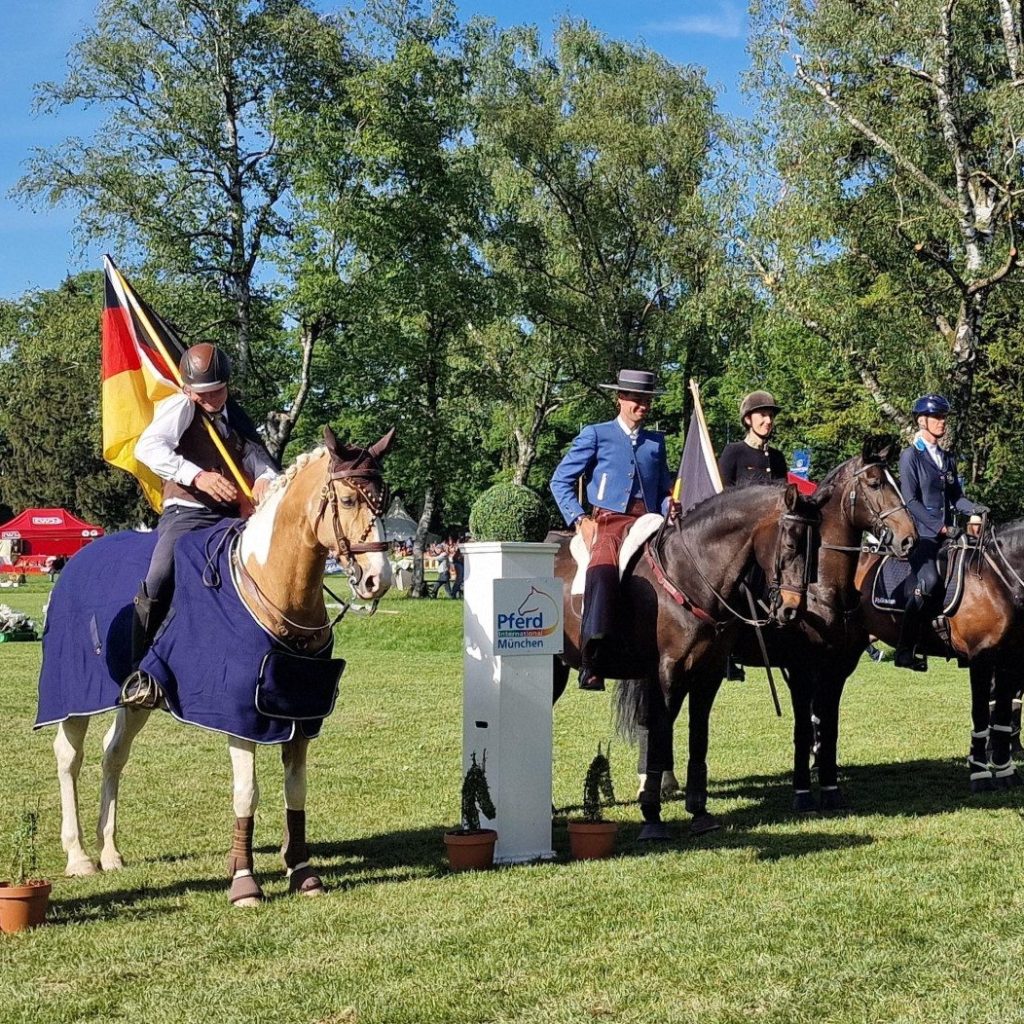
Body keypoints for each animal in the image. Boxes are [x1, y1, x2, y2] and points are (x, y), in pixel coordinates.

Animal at [37, 426, 394, 906]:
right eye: (350, 500)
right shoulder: (241, 720)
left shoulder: (299, 719)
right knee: (69, 758)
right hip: (73, 698)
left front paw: (302, 871)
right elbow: (247, 795)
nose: (379, 579)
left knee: (114, 755)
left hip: (135, 701)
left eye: (384, 499)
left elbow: (296, 792)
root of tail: (76, 562)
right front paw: (244, 881)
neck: (271, 584)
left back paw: (110, 852)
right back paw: (78, 857)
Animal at [549, 482, 830, 837]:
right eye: (791, 544)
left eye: (817, 545)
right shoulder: (669, 673)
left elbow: (699, 737)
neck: (691, 576)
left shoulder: (707, 674)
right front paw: (652, 815)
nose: (793, 610)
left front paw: (699, 812)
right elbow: (660, 734)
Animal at [856, 517, 1024, 791]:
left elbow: (1002, 713)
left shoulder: (1009, 659)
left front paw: (1005, 771)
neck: (997, 580)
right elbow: (981, 714)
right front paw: (980, 774)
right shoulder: (980, 658)